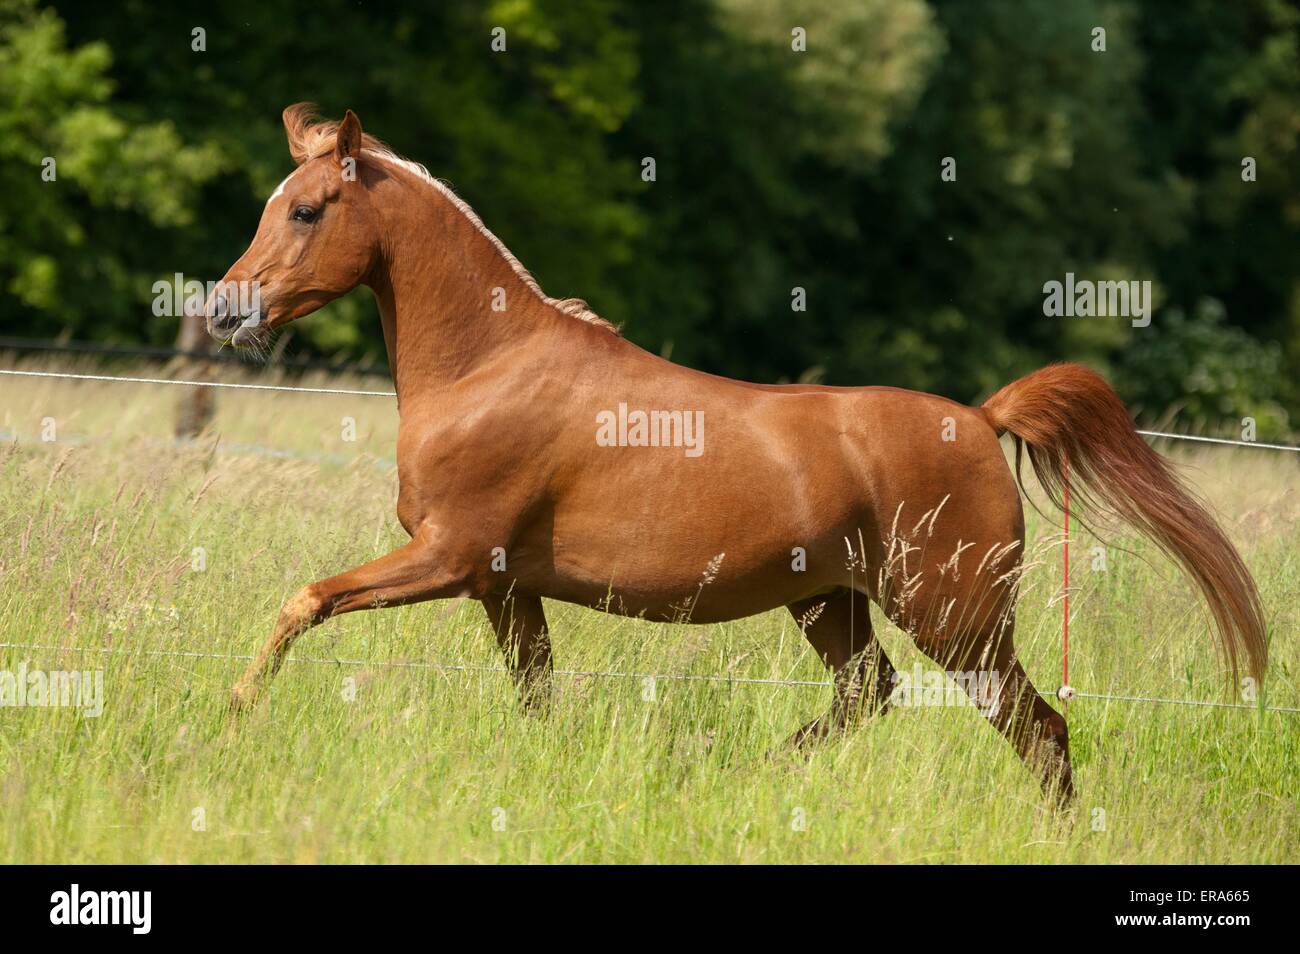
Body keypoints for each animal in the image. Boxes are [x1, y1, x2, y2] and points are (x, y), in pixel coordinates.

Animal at [208, 105, 1267, 802]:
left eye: (307, 209)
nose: (221, 309)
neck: (489, 367)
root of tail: (979, 418)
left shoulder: (450, 557)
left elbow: (304, 600)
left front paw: (230, 715)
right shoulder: (504, 587)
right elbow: (539, 699)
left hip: (954, 618)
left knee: (1037, 730)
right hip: (830, 601)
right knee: (871, 696)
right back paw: (733, 774)